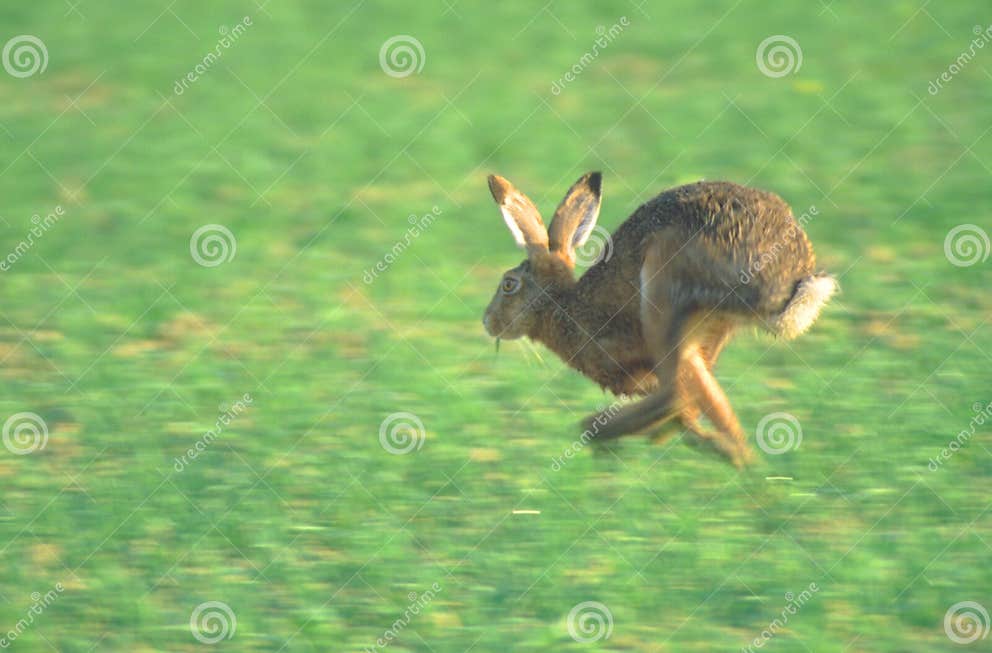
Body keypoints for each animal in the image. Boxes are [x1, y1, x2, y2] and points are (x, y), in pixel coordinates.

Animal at [481, 171, 837, 467]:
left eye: (509, 284)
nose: (488, 322)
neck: (562, 305)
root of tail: (786, 277)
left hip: (661, 291)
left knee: (674, 394)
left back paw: (601, 432)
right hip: (712, 323)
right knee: (700, 391)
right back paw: (739, 458)